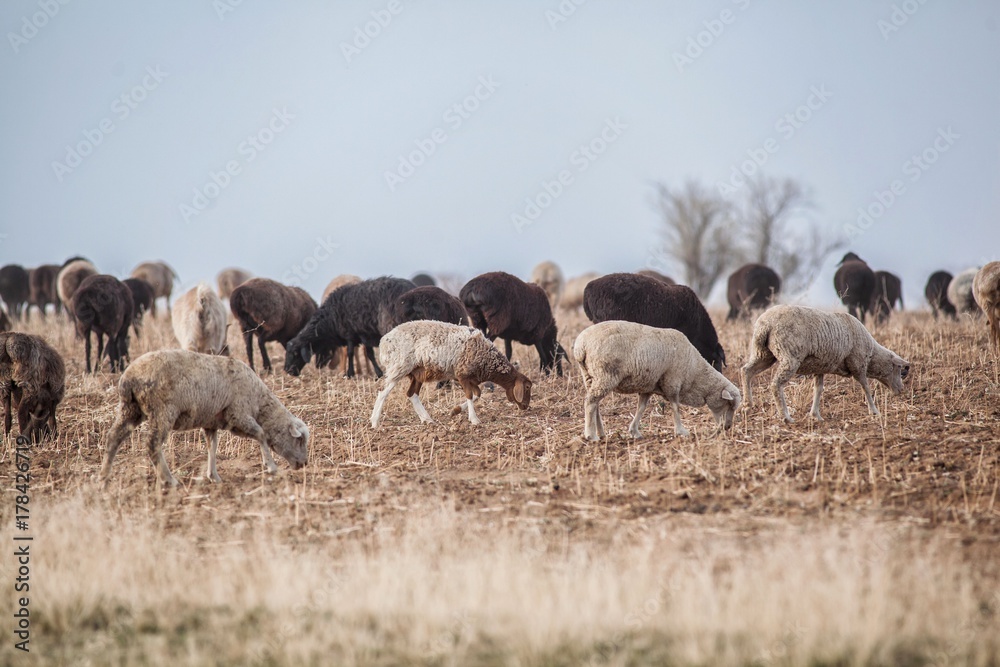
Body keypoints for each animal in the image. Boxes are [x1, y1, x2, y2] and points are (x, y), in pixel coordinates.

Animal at [101, 349, 309, 487]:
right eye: (299, 441)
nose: (304, 463)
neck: (259, 402)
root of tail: (129, 378)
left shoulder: (211, 422)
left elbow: (212, 447)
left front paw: (213, 476)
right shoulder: (238, 414)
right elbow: (261, 434)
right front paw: (271, 466)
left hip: (130, 409)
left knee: (113, 438)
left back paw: (104, 476)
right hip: (162, 411)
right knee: (152, 445)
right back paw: (169, 480)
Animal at [284, 276, 416, 378]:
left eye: (295, 353)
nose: (287, 370)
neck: (329, 320)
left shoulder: (353, 333)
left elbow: (354, 353)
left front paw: (352, 373)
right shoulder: (359, 334)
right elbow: (361, 353)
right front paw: (373, 373)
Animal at [370, 321, 531, 427]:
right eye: (527, 387)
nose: (525, 407)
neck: (488, 360)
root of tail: (383, 342)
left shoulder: (469, 378)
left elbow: (477, 394)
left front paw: (455, 411)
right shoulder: (462, 374)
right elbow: (470, 395)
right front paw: (474, 419)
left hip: (417, 373)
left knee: (412, 394)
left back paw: (427, 419)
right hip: (399, 366)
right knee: (382, 391)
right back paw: (375, 421)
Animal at [573, 320, 740, 440]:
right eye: (729, 404)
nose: (727, 427)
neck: (694, 372)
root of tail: (581, 345)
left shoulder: (648, 387)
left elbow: (641, 408)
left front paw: (634, 432)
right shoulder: (672, 381)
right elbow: (675, 407)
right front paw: (681, 431)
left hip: (590, 376)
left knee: (595, 404)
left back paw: (601, 433)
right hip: (605, 375)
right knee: (590, 402)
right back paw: (591, 435)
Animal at [741, 304, 910, 423]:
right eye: (900, 369)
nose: (901, 390)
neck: (872, 355)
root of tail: (765, 324)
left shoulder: (820, 367)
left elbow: (818, 389)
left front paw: (815, 415)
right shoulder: (858, 364)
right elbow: (866, 387)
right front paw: (874, 411)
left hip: (763, 353)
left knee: (746, 371)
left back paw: (747, 404)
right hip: (790, 357)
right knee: (775, 384)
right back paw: (786, 417)